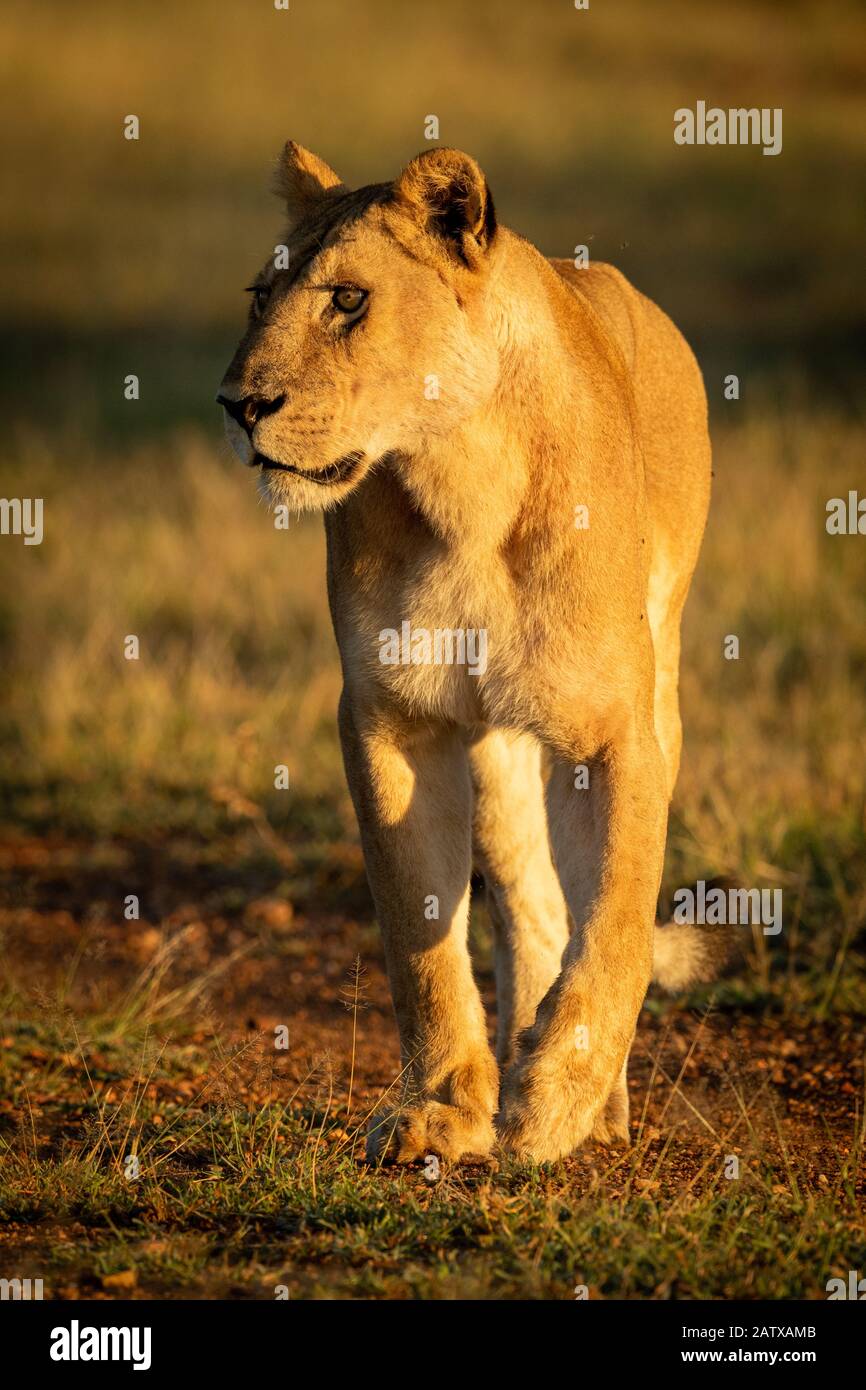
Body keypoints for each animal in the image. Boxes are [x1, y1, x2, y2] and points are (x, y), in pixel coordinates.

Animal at [218, 142, 716, 1163]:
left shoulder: (617, 731)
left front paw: (559, 1095)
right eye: (259, 296)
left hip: (660, 680)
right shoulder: (392, 716)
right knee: (533, 906)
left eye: (348, 300)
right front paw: (444, 1107)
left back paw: (597, 1102)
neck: (458, 478)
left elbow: (618, 915)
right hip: (495, 752)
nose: (238, 404)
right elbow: (419, 932)